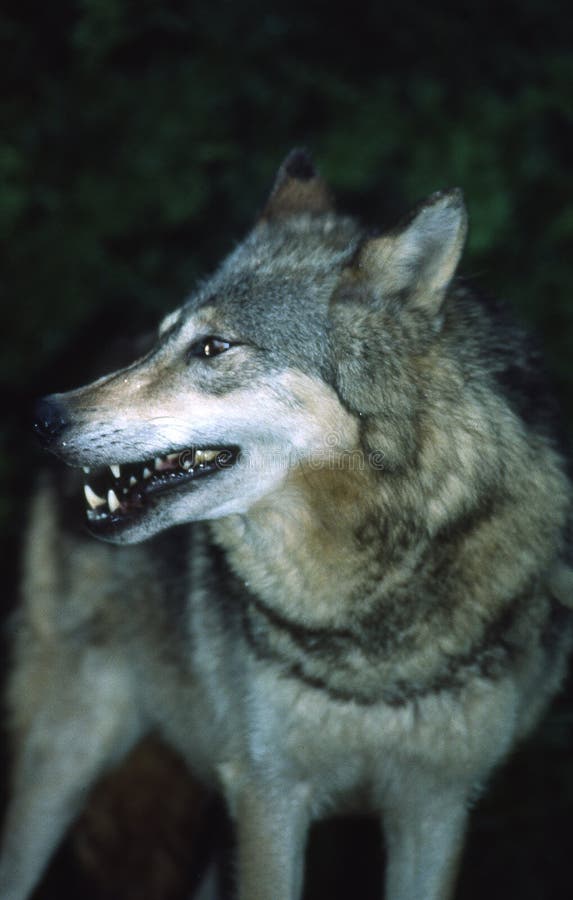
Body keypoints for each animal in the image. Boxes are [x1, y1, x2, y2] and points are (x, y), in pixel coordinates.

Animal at [0, 149, 571, 900]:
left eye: (213, 347)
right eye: (163, 339)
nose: (43, 416)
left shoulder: (436, 806)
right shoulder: (269, 794)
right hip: (66, 755)